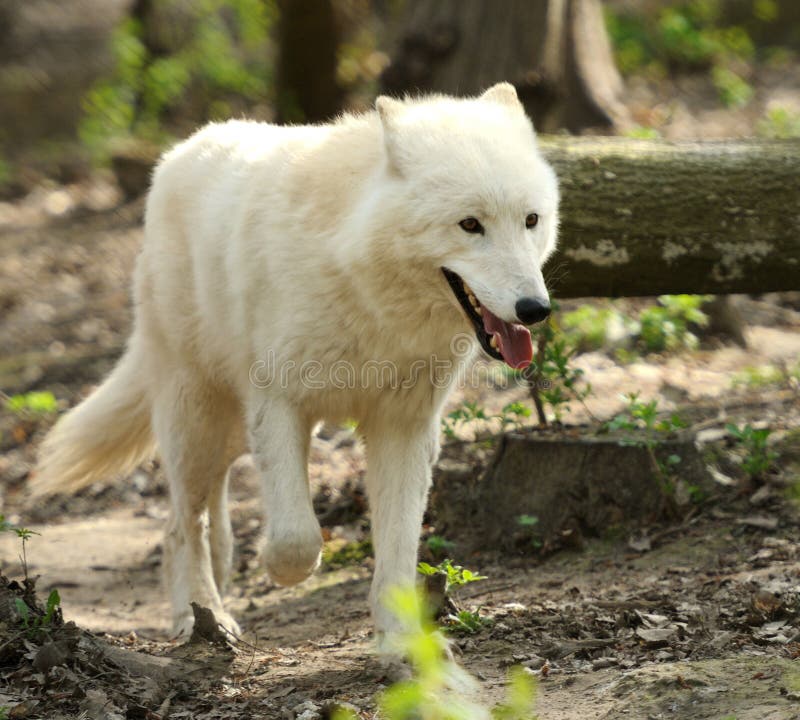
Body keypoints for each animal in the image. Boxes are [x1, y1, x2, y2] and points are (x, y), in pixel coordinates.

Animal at [33, 83, 559, 657]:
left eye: (531, 220)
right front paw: (278, 570)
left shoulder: (403, 426)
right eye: (470, 224)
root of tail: (180, 151)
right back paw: (201, 617)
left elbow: (399, 546)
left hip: (227, 432)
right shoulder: (281, 404)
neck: (366, 289)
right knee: (180, 525)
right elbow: (295, 539)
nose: (535, 308)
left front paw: (401, 644)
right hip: (197, 419)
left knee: (202, 516)